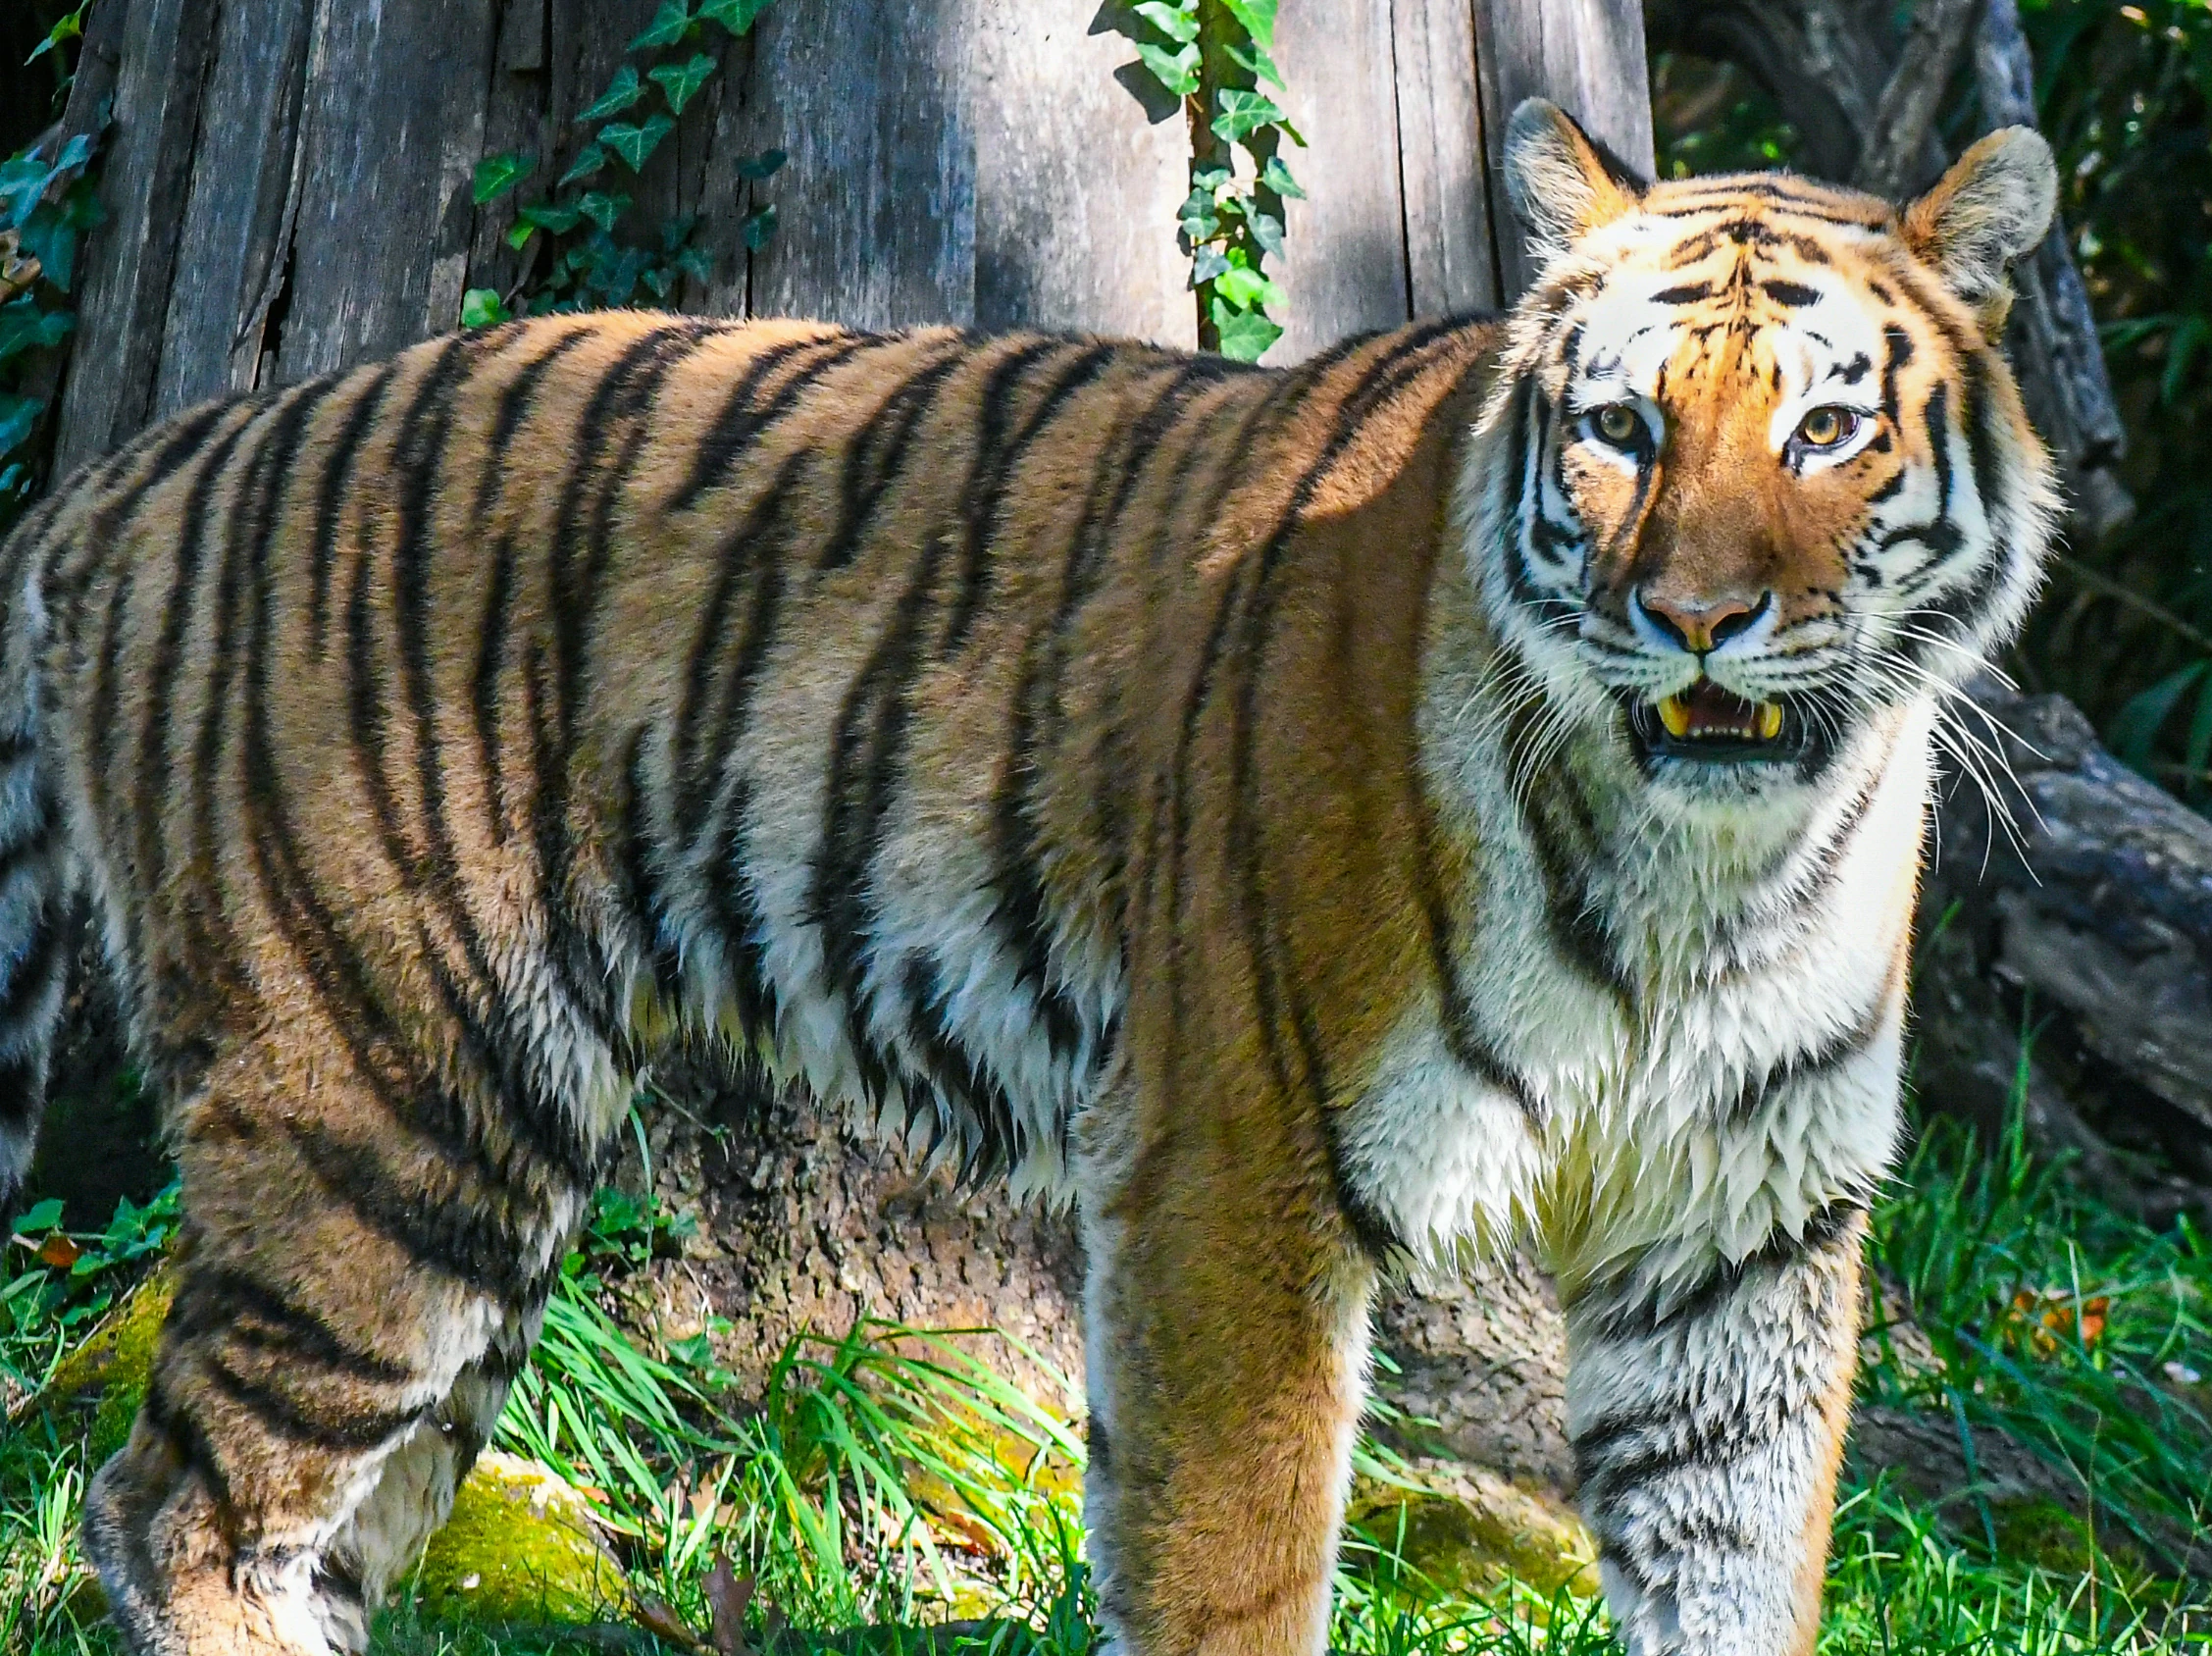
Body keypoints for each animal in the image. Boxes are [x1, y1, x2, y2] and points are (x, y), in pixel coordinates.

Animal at [0, 99, 2057, 1655]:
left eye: (1827, 427)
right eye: (1623, 428)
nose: (1695, 619)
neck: (1709, 866)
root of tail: (150, 463)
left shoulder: (1734, 1237)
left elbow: (1737, 1573)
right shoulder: (1238, 1178)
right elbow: (1234, 1576)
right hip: (384, 1107)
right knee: (175, 1503)